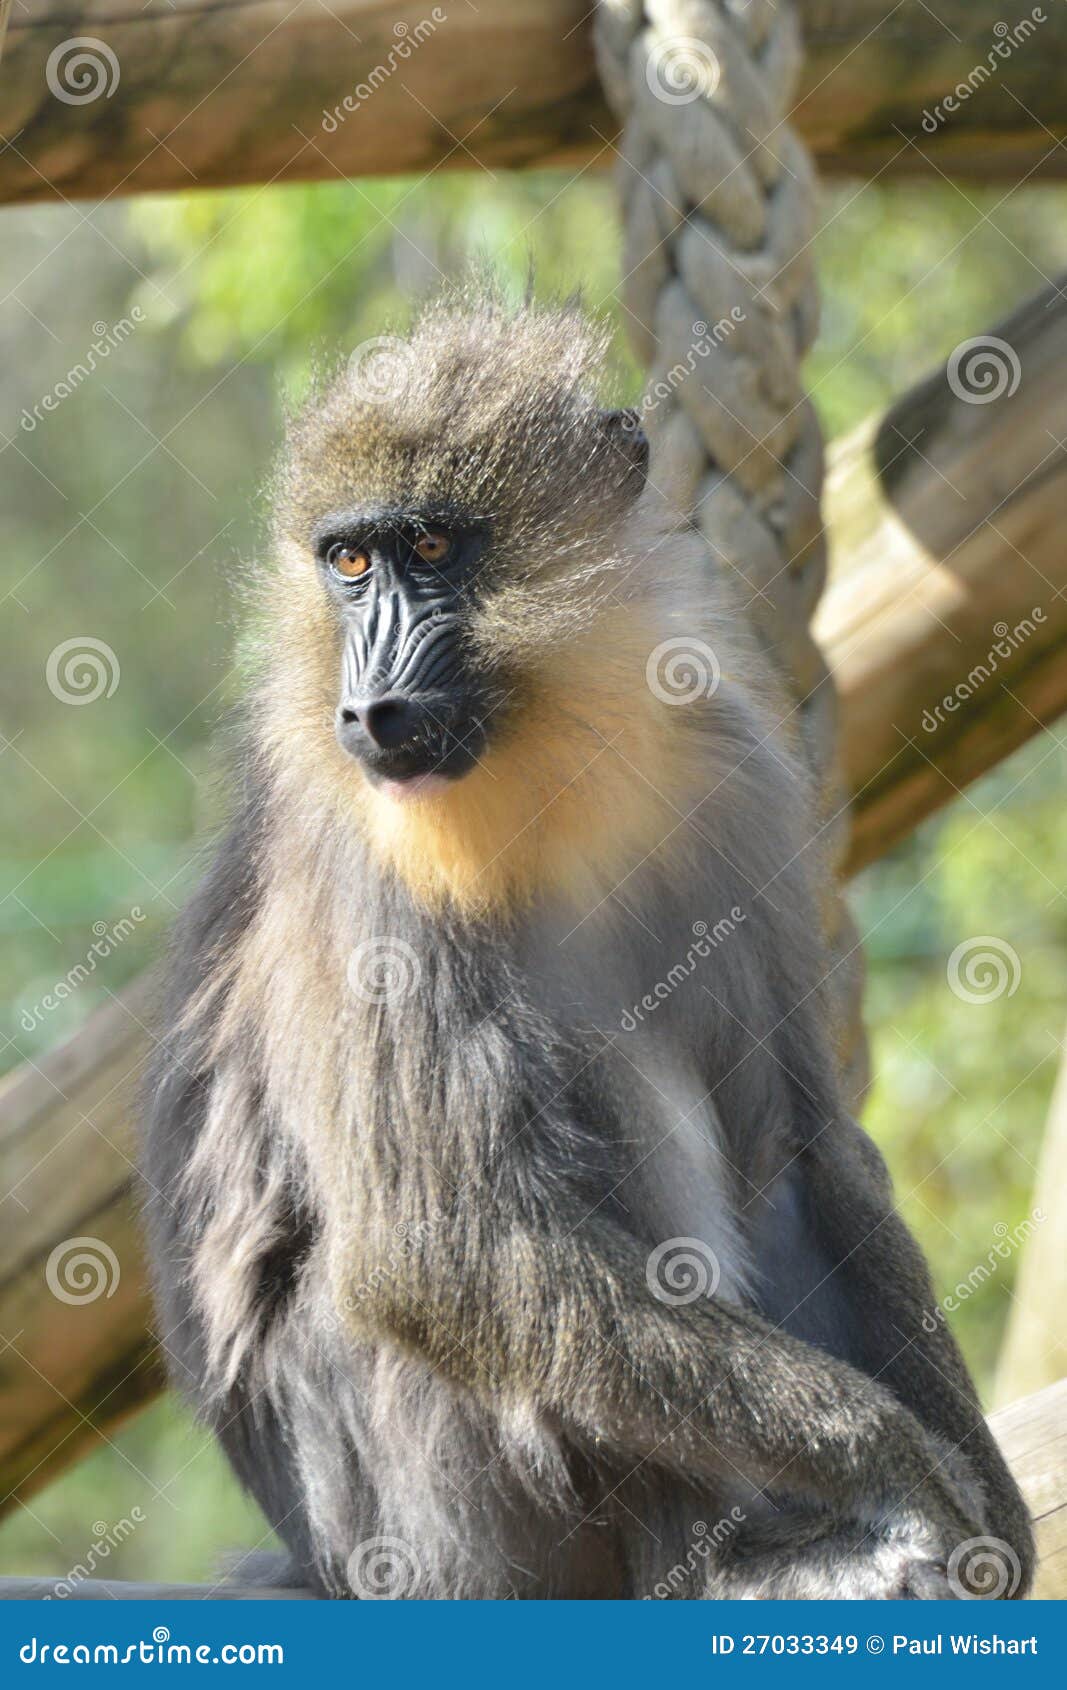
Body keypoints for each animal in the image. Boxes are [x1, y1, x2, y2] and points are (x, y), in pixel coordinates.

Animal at [142, 283, 1034, 1601]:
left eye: (431, 549)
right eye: (347, 562)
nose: (373, 707)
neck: (553, 752)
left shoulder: (730, 773)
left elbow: (806, 1140)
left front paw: (987, 1496)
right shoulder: (363, 858)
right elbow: (436, 1246)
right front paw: (900, 1464)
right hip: (440, 1529)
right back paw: (733, 1561)